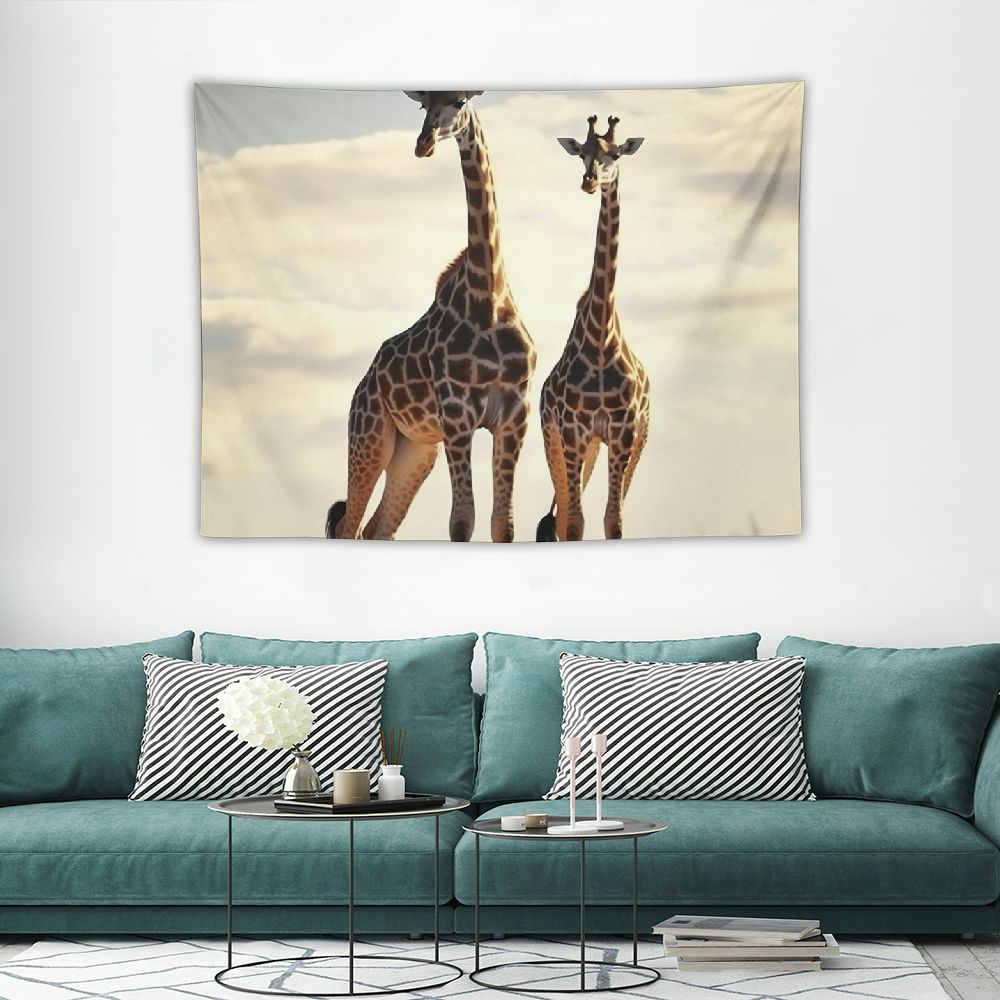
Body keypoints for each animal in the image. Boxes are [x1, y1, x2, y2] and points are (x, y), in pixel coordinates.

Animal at [325, 91, 536, 542]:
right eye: (424, 105)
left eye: (458, 101)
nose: (423, 143)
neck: (488, 296)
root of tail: (360, 388)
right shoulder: (457, 415)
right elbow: (462, 523)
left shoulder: (514, 416)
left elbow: (502, 525)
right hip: (369, 437)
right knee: (349, 525)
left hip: (415, 450)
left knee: (377, 529)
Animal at [537, 115, 649, 542]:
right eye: (582, 153)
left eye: (614, 154)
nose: (589, 181)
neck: (601, 337)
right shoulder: (572, 431)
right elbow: (574, 524)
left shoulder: (622, 432)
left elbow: (613, 522)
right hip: (559, 441)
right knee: (562, 515)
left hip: (630, 441)